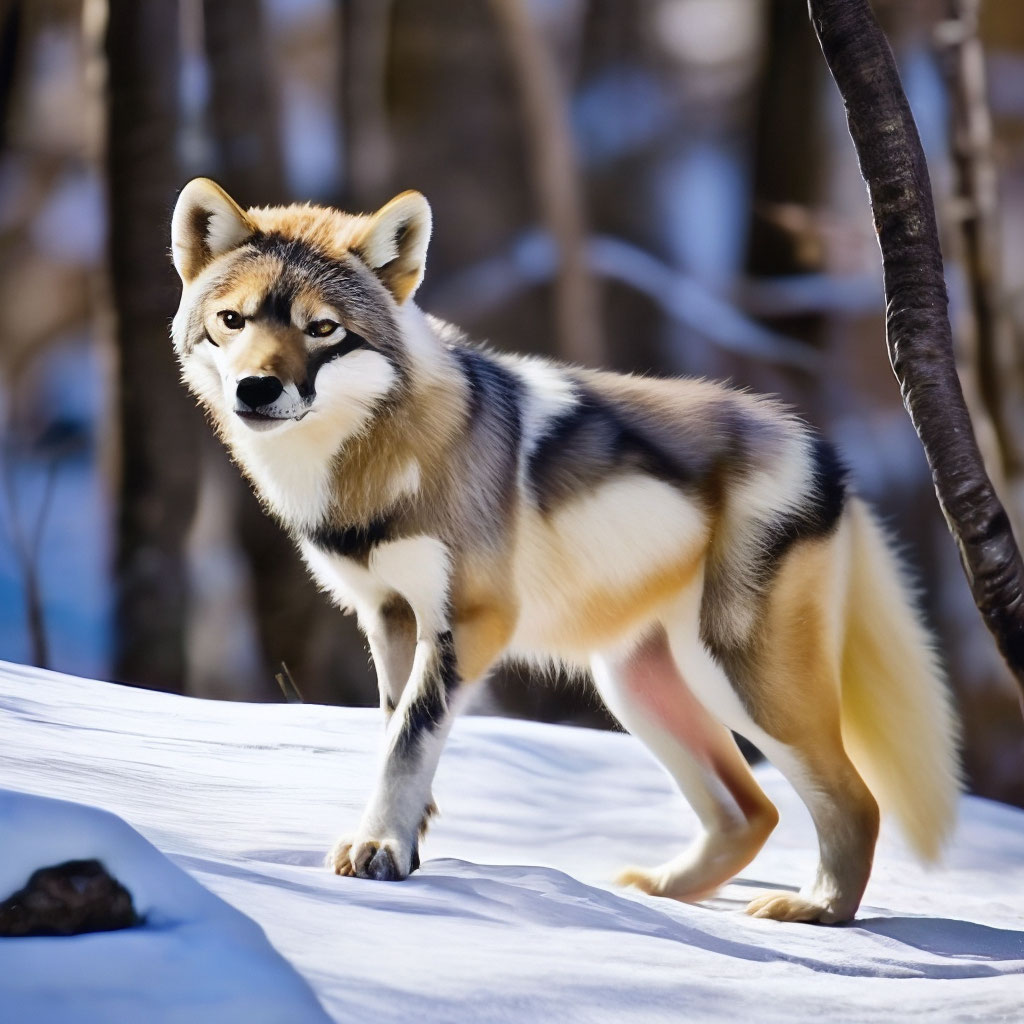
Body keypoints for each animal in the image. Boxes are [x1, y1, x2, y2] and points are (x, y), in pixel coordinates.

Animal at [169, 178, 960, 924]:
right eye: (233, 321)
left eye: (323, 329)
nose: (257, 388)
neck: (372, 463)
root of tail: (823, 452)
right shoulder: (390, 617)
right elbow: (398, 735)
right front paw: (405, 846)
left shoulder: (470, 624)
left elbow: (408, 742)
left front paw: (379, 851)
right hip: (637, 687)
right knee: (753, 812)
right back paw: (660, 893)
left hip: (739, 679)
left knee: (856, 801)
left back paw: (817, 910)